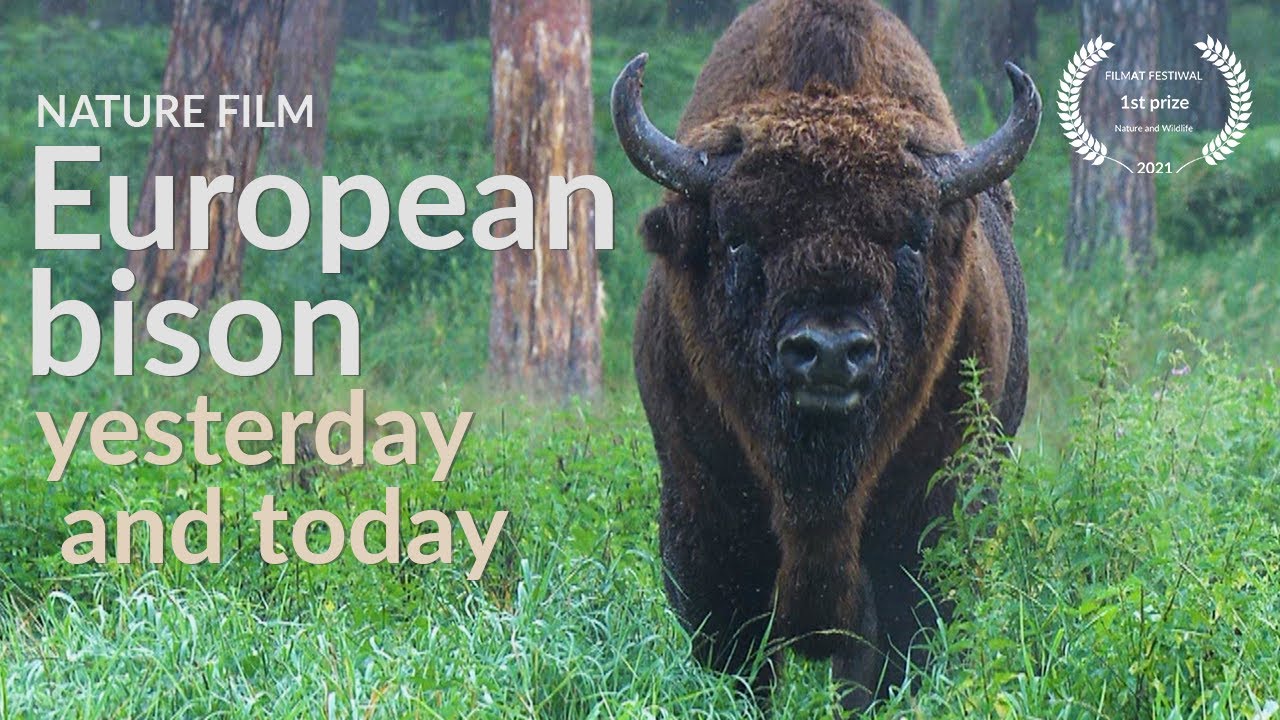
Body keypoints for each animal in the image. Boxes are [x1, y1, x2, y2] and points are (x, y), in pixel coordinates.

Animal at [610, 0, 1041, 711]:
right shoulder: (704, 521)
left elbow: (895, 648)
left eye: (914, 237)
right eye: (736, 237)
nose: (832, 353)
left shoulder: (928, 525)